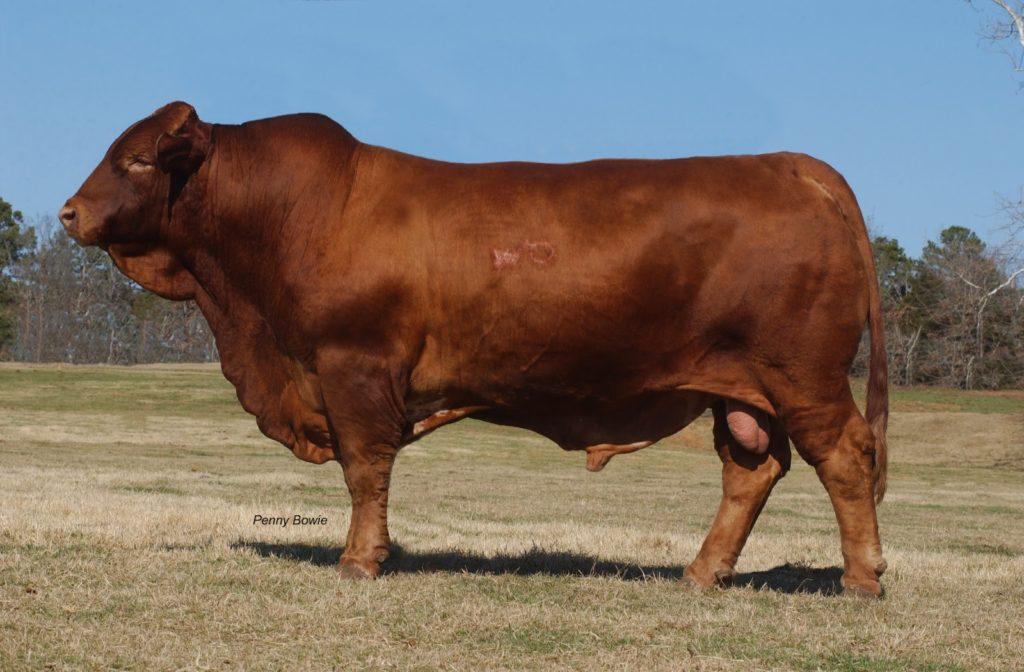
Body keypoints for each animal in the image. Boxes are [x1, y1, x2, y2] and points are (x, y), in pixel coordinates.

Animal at [60, 102, 889, 597]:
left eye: (137, 161)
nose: (68, 213)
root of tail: (789, 163)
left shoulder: (354, 366)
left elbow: (365, 470)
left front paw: (359, 561)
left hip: (806, 376)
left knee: (846, 459)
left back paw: (862, 579)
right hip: (742, 393)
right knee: (751, 471)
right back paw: (700, 573)